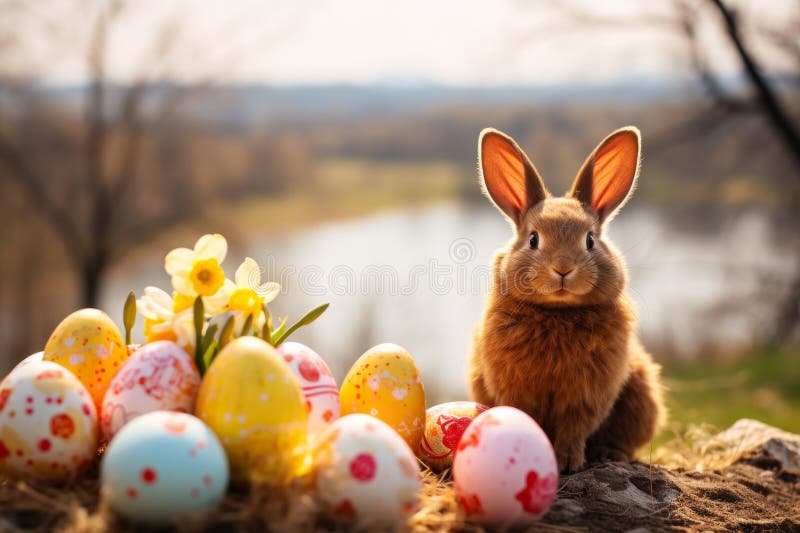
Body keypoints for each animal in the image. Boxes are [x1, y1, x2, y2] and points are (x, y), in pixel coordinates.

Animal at [469, 126, 665, 473]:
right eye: (533, 239)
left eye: (590, 240)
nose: (563, 269)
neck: (557, 313)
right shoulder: (517, 390)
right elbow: (528, 419)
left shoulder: (586, 396)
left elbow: (574, 428)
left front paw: (569, 463)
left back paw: (609, 454)